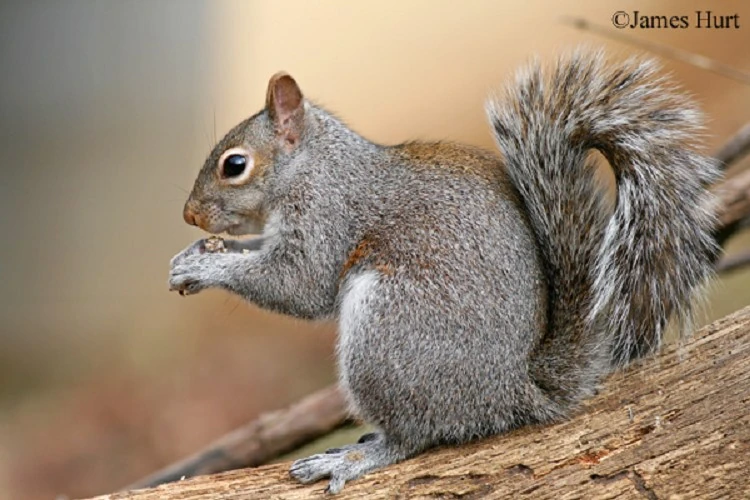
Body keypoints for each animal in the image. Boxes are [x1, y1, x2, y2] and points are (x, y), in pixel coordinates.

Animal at [168, 49, 719, 494]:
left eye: (234, 165)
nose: (190, 215)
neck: (315, 167)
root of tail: (511, 393)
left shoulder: (326, 217)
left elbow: (299, 286)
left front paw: (207, 263)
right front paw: (197, 254)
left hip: (388, 333)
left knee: (416, 437)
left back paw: (356, 456)